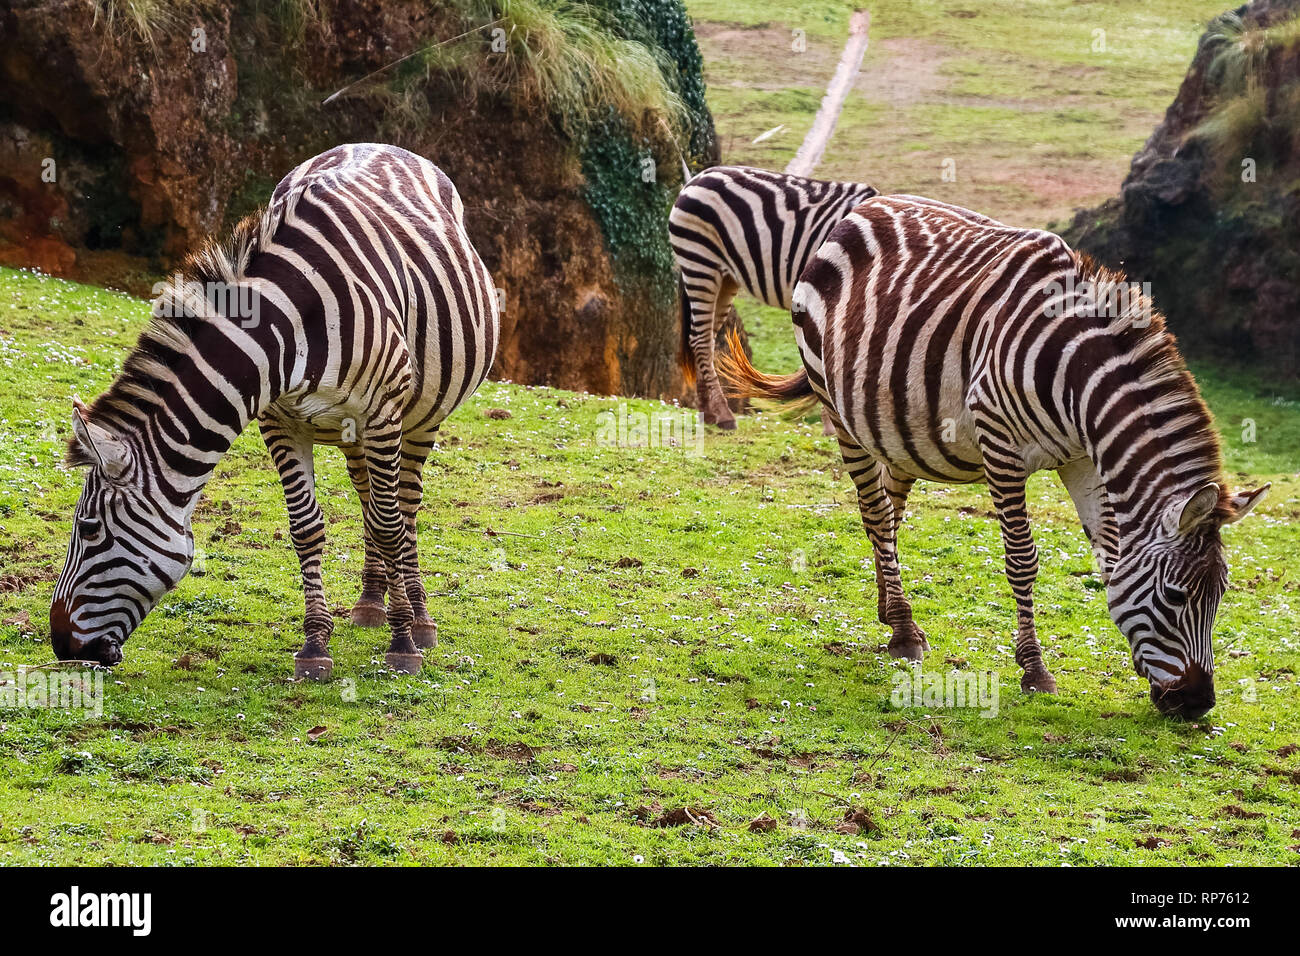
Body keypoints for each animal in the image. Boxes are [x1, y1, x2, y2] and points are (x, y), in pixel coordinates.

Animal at [50, 143, 499, 680]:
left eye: (88, 529)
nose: (60, 644)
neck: (297, 321)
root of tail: (385, 145)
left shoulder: (382, 414)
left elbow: (391, 525)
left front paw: (404, 641)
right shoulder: (280, 420)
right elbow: (307, 529)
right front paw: (316, 645)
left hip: (417, 419)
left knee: (402, 507)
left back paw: (418, 614)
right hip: (353, 433)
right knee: (369, 500)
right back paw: (371, 602)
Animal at [668, 165, 877, 430]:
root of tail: (697, 177)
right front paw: (831, 425)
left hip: (726, 277)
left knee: (705, 337)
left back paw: (709, 412)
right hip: (700, 261)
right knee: (700, 339)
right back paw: (723, 415)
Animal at [719, 194, 1268, 718]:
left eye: (1220, 596)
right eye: (1174, 596)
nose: (1197, 705)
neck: (1076, 381)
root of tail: (861, 210)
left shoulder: (1083, 460)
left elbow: (1110, 555)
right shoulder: (1000, 446)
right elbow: (1022, 559)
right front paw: (1035, 669)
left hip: (895, 421)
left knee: (888, 511)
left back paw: (890, 608)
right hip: (838, 408)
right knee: (874, 511)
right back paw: (902, 630)